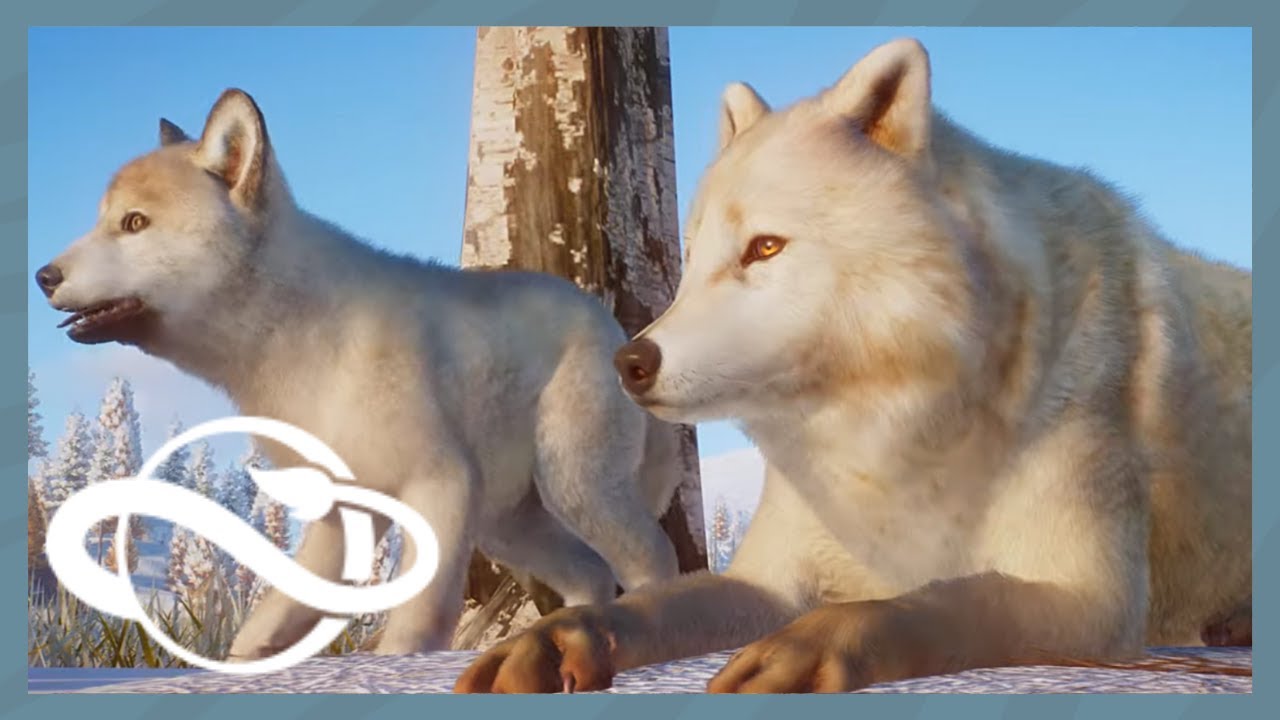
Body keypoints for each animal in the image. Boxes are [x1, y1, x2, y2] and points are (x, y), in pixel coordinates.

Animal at [35, 89, 684, 658]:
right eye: (106, 219)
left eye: (134, 223)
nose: (43, 276)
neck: (298, 344)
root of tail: (617, 331)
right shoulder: (340, 515)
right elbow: (262, 628)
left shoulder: (440, 484)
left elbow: (414, 626)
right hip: (512, 526)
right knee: (591, 575)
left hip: (574, 490)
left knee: (655, 564)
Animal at [455, 37, 1252, 693]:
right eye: (695, 258)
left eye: (765, 248)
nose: (630, 361)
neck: (897, 426)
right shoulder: (770, 580)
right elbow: (653, 606)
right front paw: (555, 638)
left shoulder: (1093, 597)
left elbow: (934, 601)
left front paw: (808, 647)